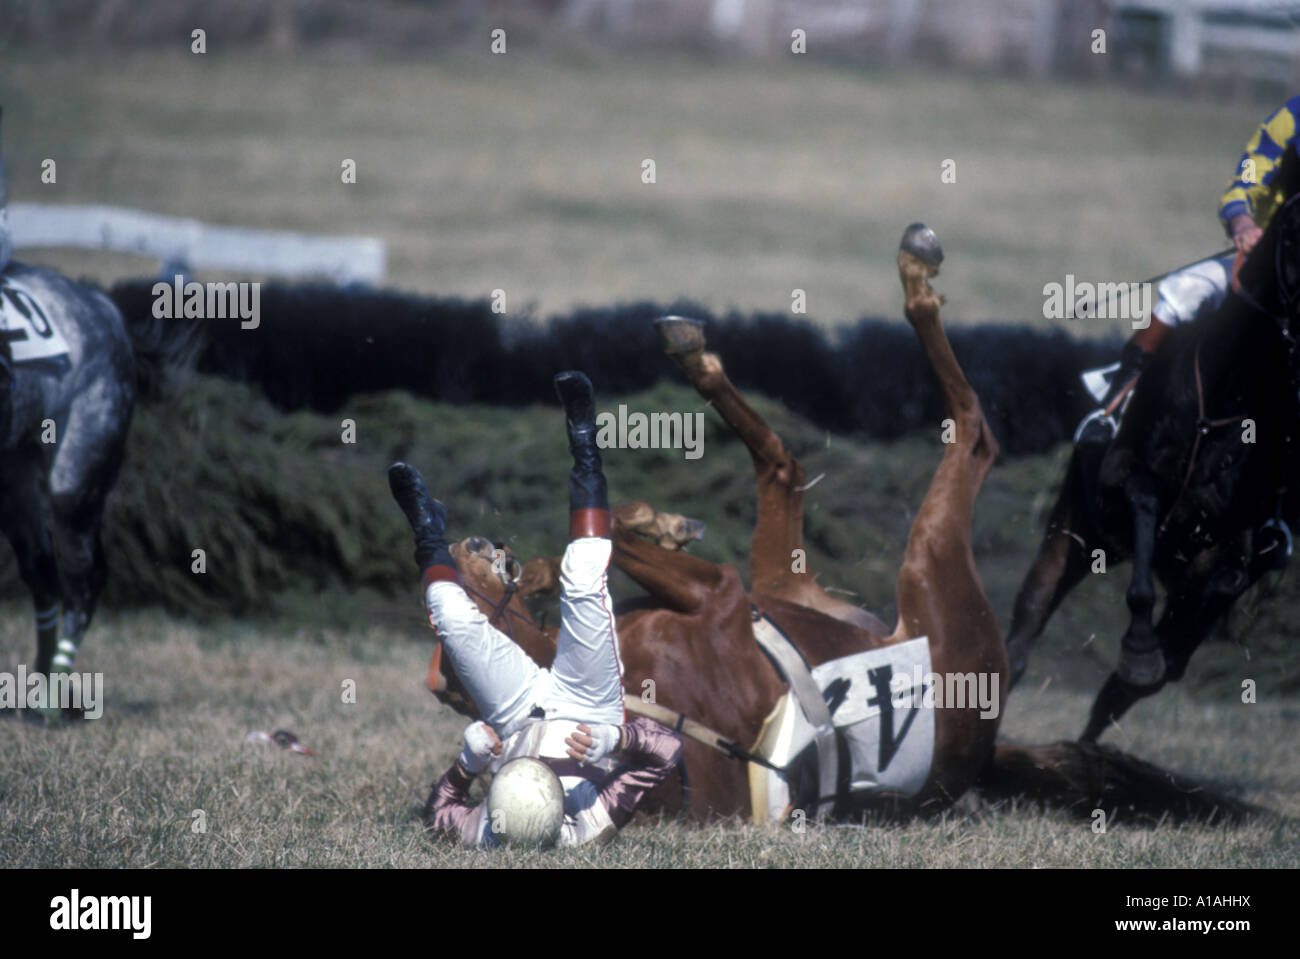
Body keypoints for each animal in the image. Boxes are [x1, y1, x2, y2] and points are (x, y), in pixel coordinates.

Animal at [1005, 147, 1300, 743]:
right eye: (1298, 232)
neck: (1231, 397)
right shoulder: (1122, 472)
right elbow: (1143, 498)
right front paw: (1140, 646)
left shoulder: (1232, 543)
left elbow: (1223, 579)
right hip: (1077, 528)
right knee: (1024, 631)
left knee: (1121, 693)